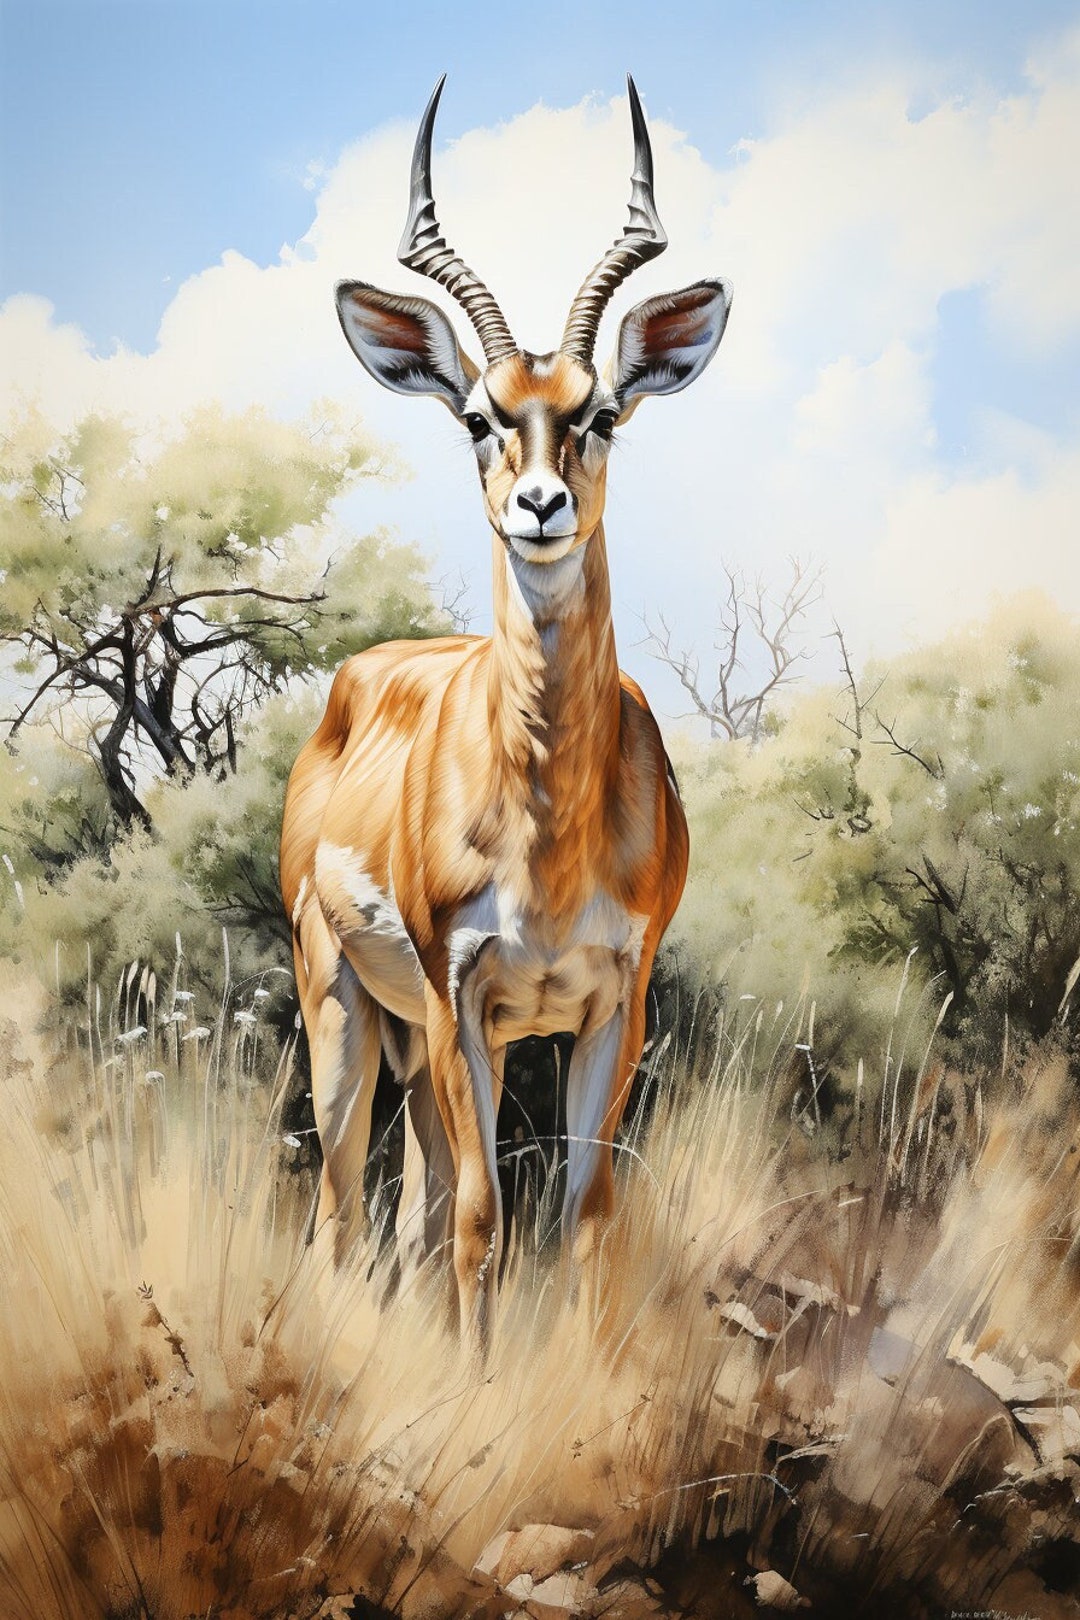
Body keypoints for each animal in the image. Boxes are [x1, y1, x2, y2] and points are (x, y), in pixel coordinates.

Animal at [280, 77, 731, 1355]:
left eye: (604, 413)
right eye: (479, 416)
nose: (539, 506)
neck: (551, 839)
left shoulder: (614, 1002)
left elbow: (583, 1217)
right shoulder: (461, 995)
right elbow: (485, 1219)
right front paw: (479, 1387)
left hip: (410, 1038)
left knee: (417, 1207)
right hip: (347, 1007)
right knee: (347, 1204)